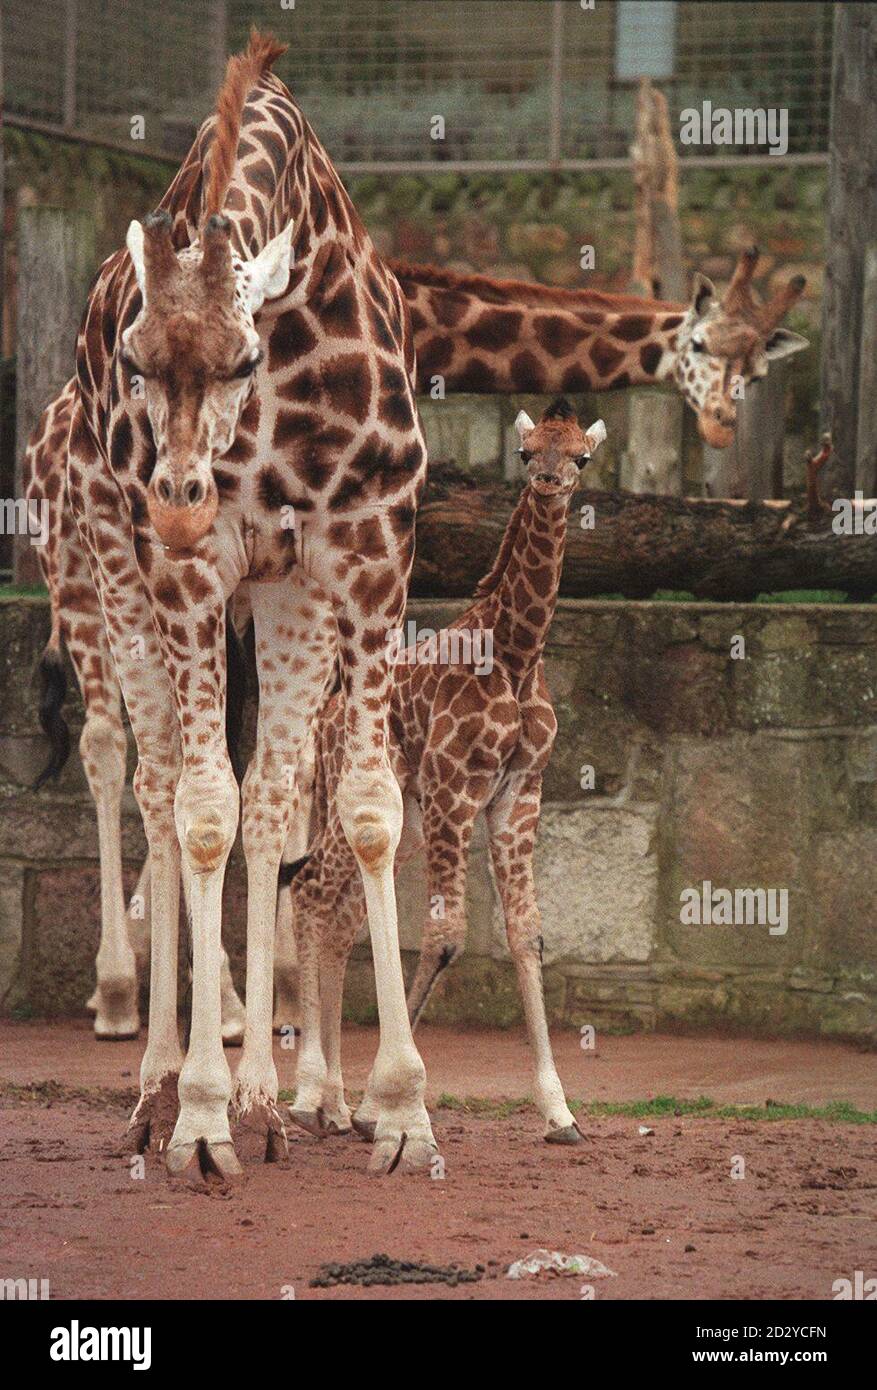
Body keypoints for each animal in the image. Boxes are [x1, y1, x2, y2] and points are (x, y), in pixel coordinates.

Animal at [62, 29, 440, 1179]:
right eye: (135, 362)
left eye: (242, 358)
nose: (177, 502)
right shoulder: (192, 572)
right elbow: (200, 808)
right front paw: (198, 1114)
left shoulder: (366, 546)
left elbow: (362, 810)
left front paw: (399, 1113)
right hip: (112, 563)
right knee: (154, 785)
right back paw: (157, 1086)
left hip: (283, 597)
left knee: (272, 799)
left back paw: (270, 1099)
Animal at [286, 398, 607, 1146]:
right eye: (526, 454)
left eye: (580, 456)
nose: (549, 484)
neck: (516, 653)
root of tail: (325, 720)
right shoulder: (453, 787)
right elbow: (443, 938)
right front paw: (385, 1109)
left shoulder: (518, 794)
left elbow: (526, 933)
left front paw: (559, 1112)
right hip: (360, 806)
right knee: (310, 892)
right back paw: (312, 1098)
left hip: (393, 819)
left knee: (340, 919)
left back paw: (331, 1102)